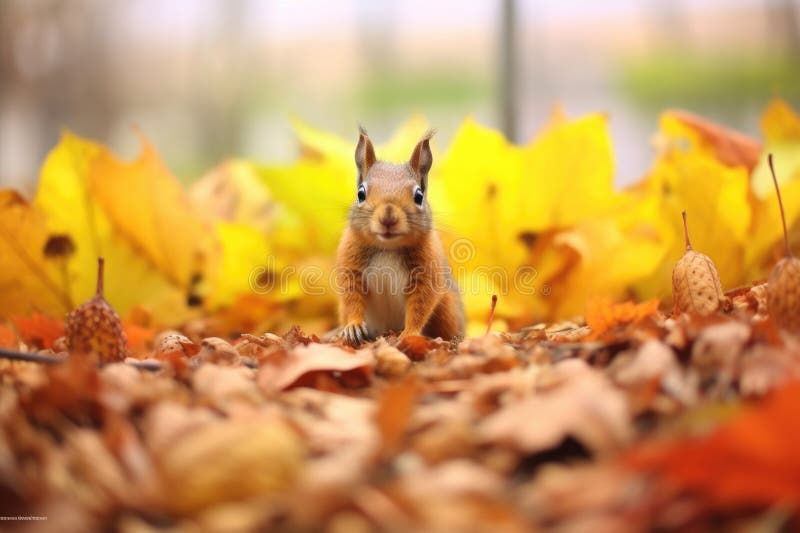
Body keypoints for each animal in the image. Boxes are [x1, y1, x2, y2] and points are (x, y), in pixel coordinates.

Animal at [336, 127, 465, 345]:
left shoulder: (427, 270)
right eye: (361, 193)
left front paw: (410, 333)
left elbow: (420, 304)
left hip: (447, 307)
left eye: (419, 196)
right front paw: (353, 326)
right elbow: (351, 295)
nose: (388, 218)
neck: (388, 247)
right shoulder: (351, 263)